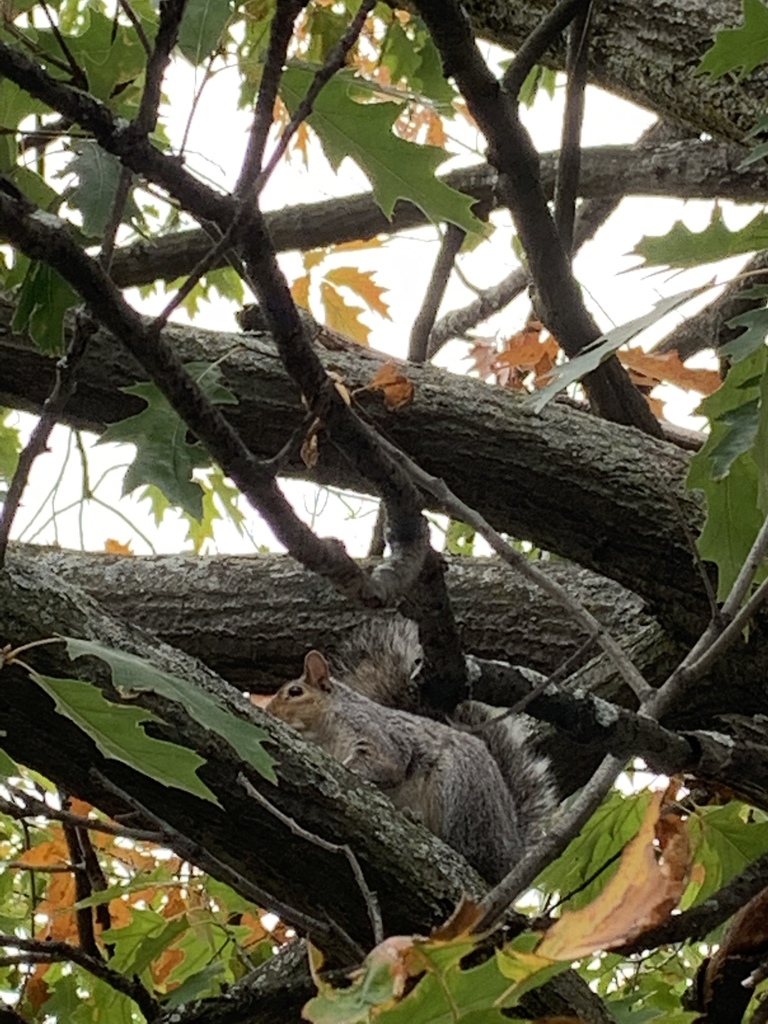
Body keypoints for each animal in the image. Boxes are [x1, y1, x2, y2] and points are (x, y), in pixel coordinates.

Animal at [267, 618, 557, 884]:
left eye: (295, 692)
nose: (269, 712)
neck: (326, 734)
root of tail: (511, 855)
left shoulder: (375, 734)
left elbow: (386, 765)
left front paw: (353, 769)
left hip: (458, 790)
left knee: (469, 850)